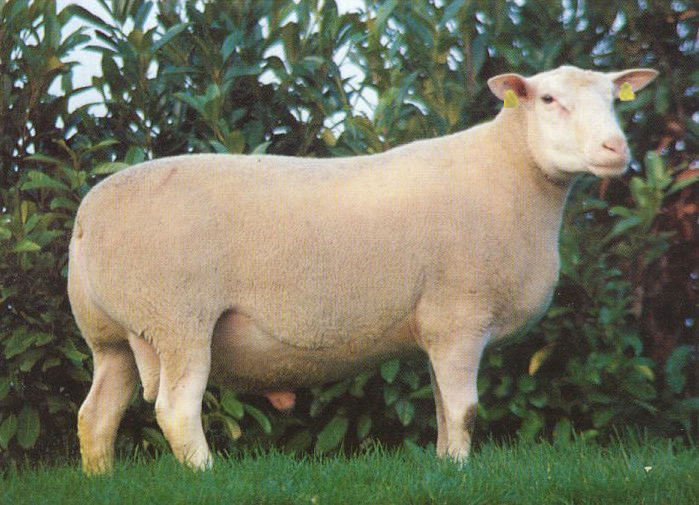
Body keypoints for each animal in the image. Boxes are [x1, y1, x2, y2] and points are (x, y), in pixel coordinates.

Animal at [68, 65, 658, 474]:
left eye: (614, 99)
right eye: (550, 100)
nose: (615, 147)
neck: (513, 172)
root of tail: (88, 217)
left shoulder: (435, 329)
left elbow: (443, 409)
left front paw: (445, 468)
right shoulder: (460, 318)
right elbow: (465, 410)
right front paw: (462, 470)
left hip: (112, 337)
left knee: (95, 415)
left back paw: (102, 480)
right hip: (177, 319)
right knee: (176, 411)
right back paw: (205, 477)